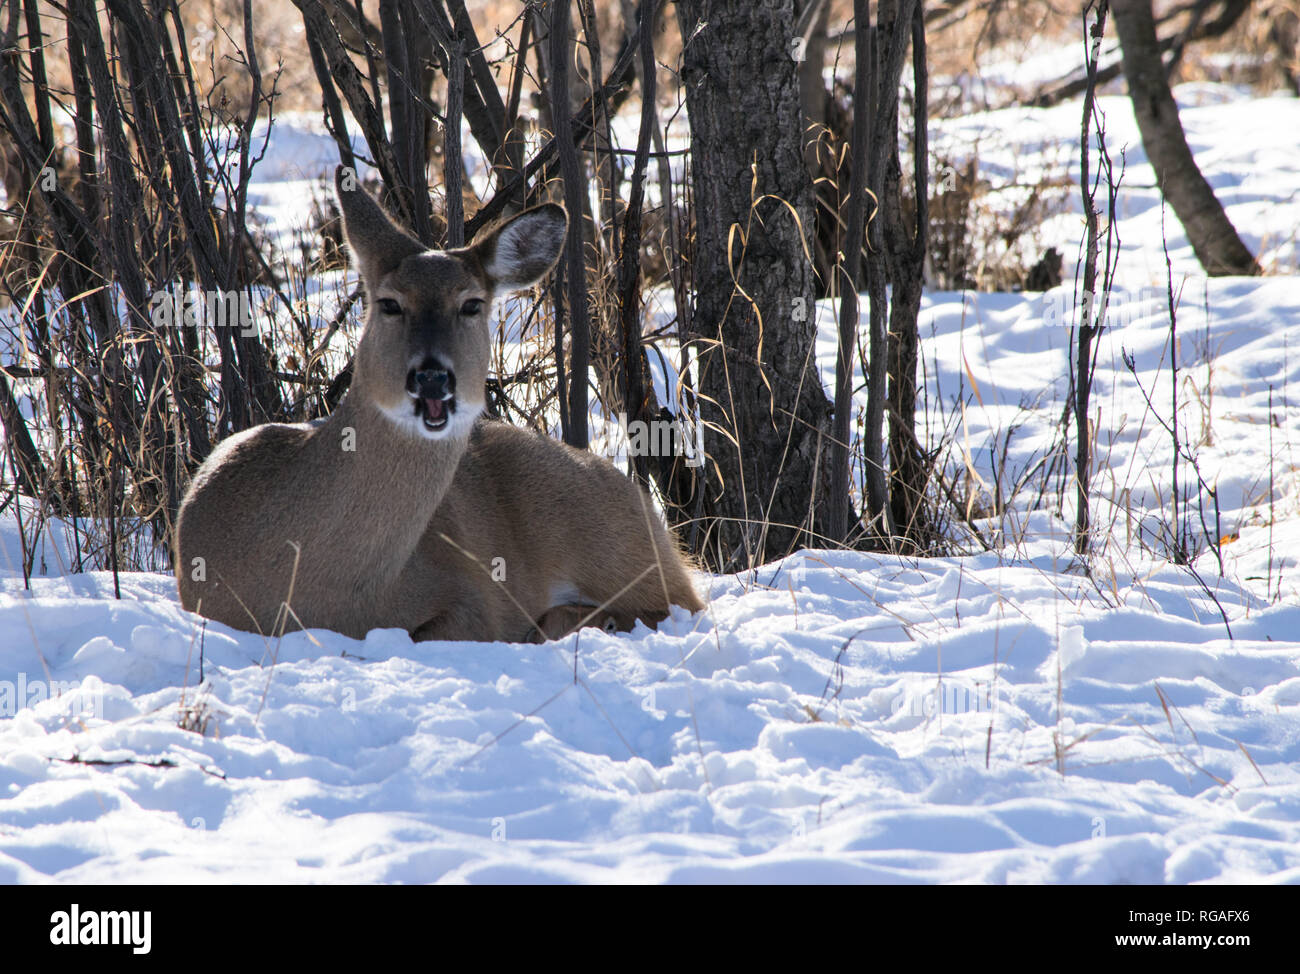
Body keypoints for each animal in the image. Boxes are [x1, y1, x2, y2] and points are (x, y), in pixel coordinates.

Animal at [173, 167, 702, 643]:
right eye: (389, 303)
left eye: (471, 304)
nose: (431, 377)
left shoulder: (475, 599)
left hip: (610, 536)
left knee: (682, 605)